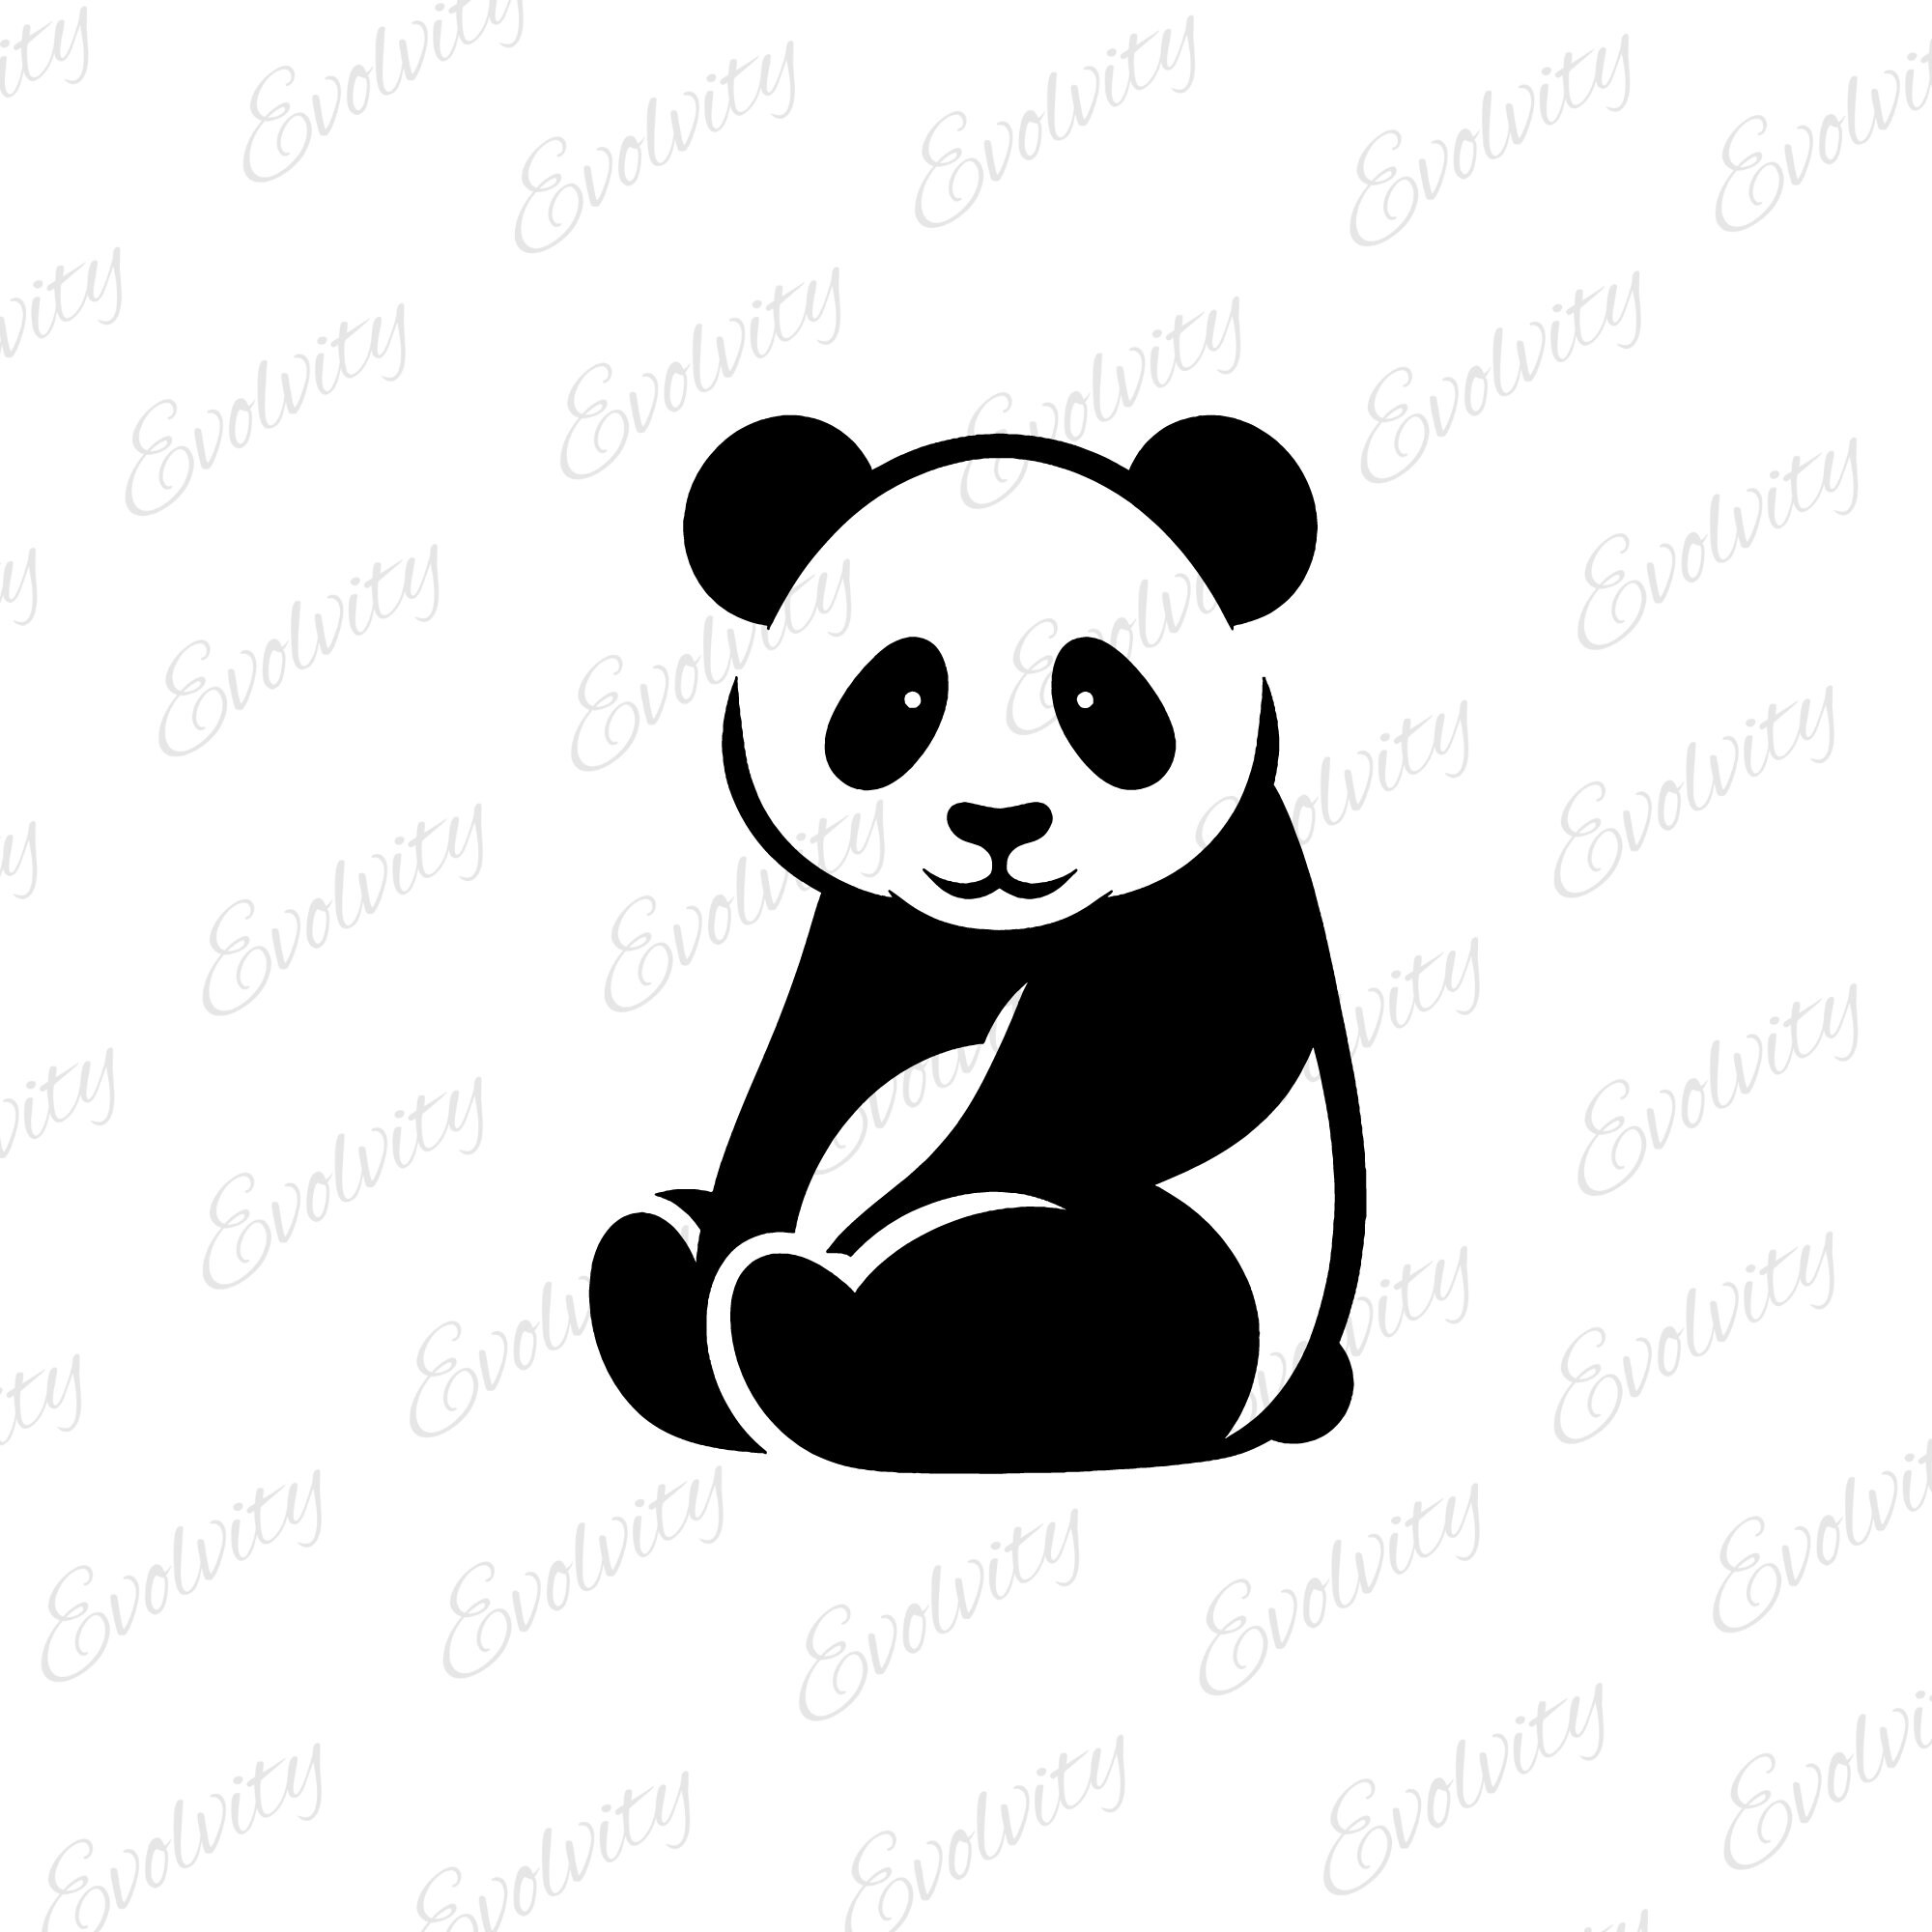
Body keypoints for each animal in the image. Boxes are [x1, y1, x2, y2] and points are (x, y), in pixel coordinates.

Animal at [589, 412, 1366, 1474]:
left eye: (1094, 695)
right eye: (905, 696)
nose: (1000, 822)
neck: (1002, 932)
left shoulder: (1211, 914)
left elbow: (1132, 1080)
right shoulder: (871, 943)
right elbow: (796, 1094)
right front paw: (706, 1301)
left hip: (1161, 1280)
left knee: (1046, 1289)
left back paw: (795, 1311)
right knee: (649, 1241)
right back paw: (674, 1279)